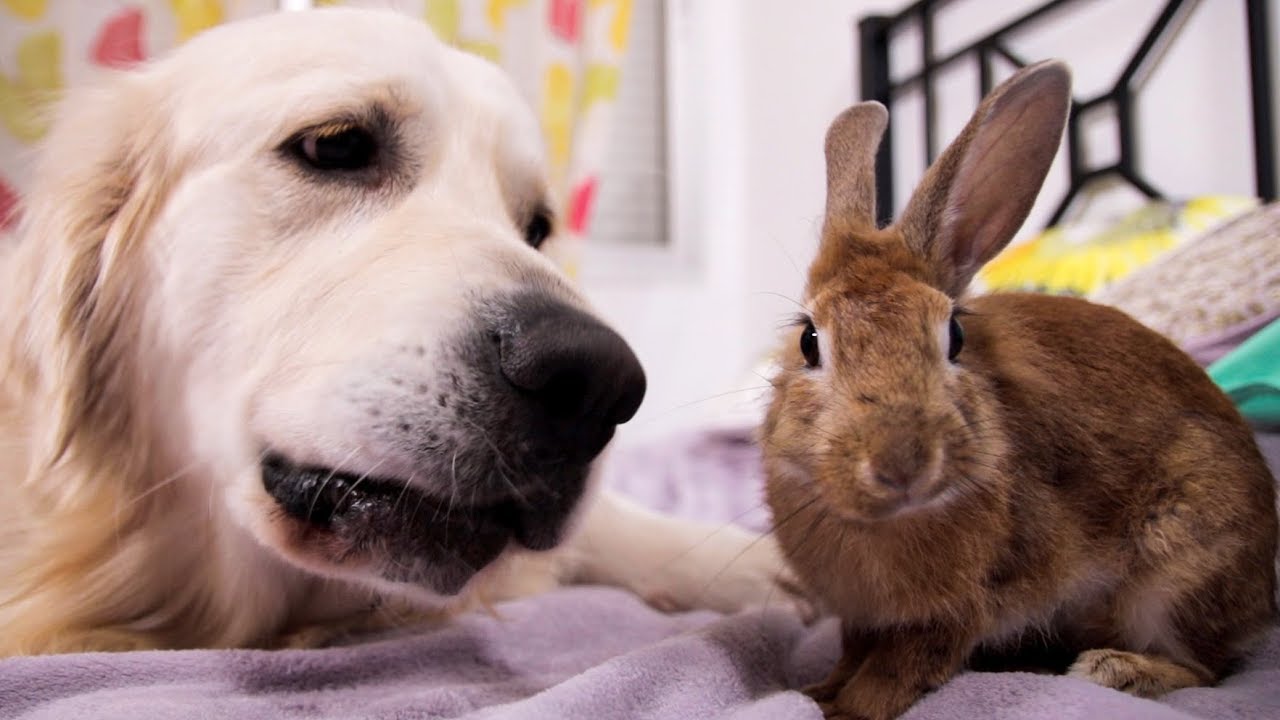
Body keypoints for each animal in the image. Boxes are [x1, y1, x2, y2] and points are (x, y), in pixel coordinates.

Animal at [761, 60, 1278, 720]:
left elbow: (899, 670)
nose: (903, 463)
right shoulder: (862, 618)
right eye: (809, 342)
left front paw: (846, 709)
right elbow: (854, 653)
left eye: (954, 336)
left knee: (1206, 670)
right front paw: (817, 690)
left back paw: (1117, 670)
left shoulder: (957, 611)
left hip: (1181, 568)